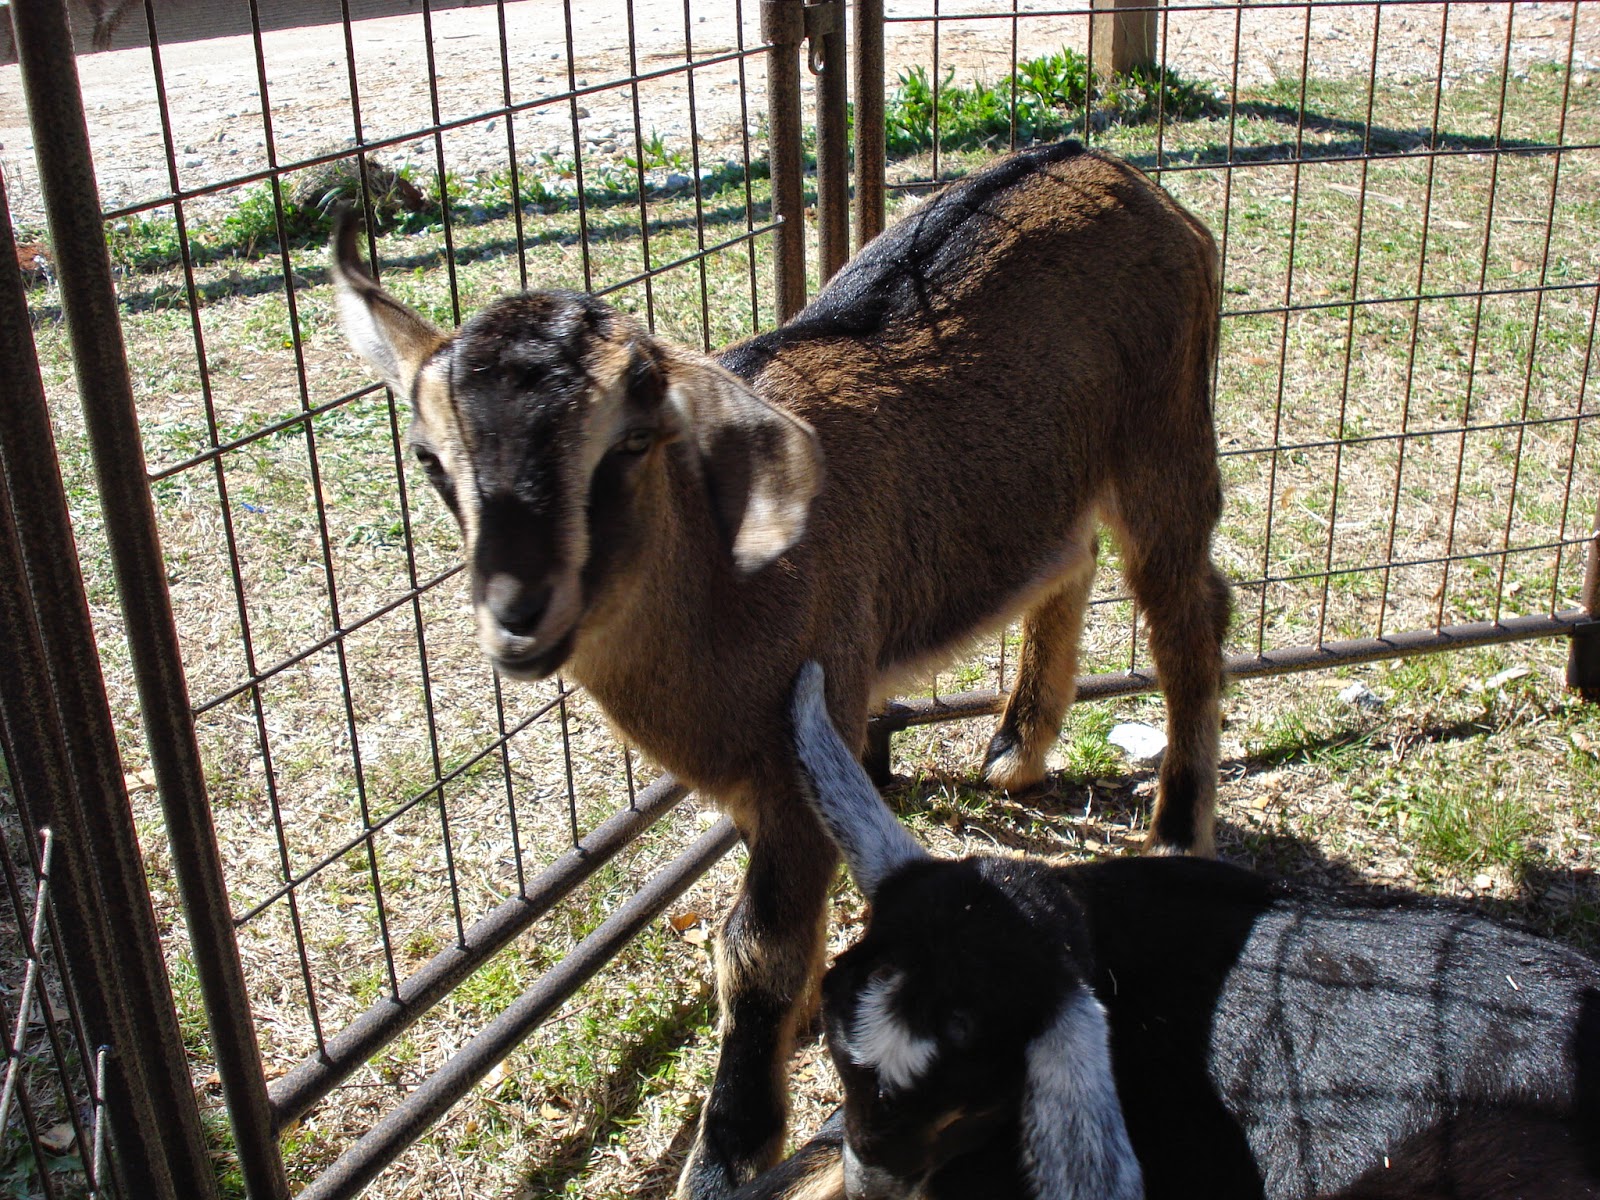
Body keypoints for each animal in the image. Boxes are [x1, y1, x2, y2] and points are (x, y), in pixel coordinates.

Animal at [330, 141, 1230, 1198]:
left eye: (631, 442)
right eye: (433, 461)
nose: (518, 616)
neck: (724, 584)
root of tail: (1115, 170)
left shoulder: (807, 735)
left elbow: (754, 950)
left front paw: (729, 1149)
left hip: (1166, 437)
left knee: (1190, 613)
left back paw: (1173, 833)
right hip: (1057, 477)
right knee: (1069, 560)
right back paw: (1017, 749)